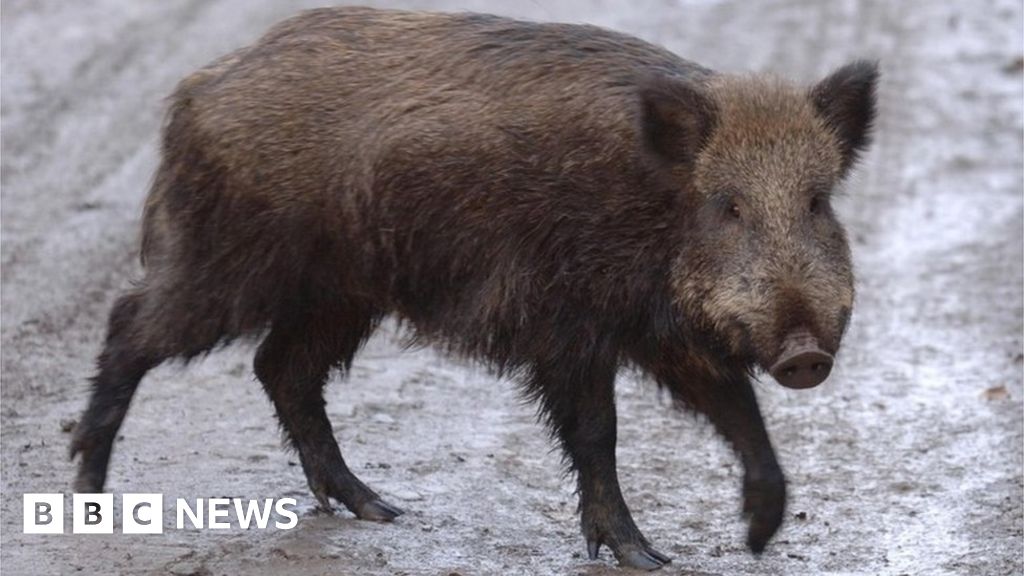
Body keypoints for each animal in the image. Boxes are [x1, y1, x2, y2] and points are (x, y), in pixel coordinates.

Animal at [70, 7, 877, 570]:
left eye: (816, 201)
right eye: (729, 206)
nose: (805, 354)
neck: (653, 209)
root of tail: (195, 90)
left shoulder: (667, 335)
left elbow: (742, 416)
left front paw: (759, 537)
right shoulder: (567, 326)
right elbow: (598, 433)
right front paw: (642, 557)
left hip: (340, 294)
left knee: (281, 367)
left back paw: (378, 510)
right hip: (230, 264)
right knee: (130, 324)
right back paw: (88, 487)